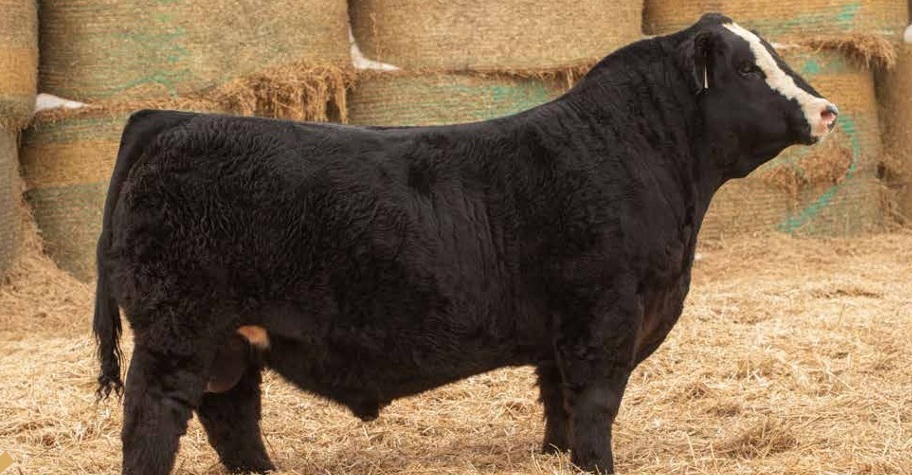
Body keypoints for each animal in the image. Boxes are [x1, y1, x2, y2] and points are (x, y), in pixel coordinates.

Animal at [93, 13, 838, 475]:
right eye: (748, 71)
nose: (828, 109)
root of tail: (174, 119)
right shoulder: (604, 317)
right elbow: (595, 404)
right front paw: (596, 463)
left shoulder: (563, 335)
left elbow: (559, 403)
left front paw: (555, 455)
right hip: (177, 333)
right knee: (152, 422)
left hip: (232, 342)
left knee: (232, 418)